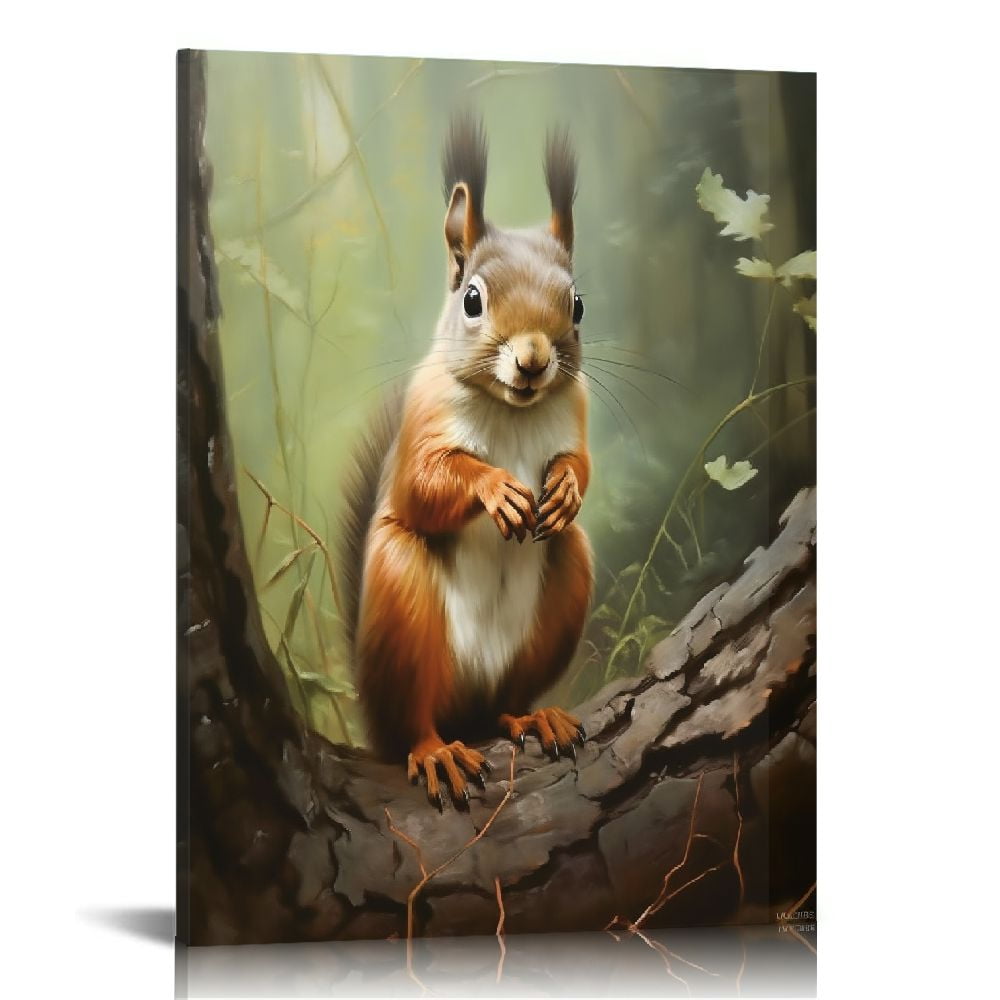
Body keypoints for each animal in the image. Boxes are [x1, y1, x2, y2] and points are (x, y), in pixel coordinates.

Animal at [339, 113, 593, 809]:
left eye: (578, 305)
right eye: (472, 300)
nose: (533, 360)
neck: (512, 409)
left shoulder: (577, 414)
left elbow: (582, 464)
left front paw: (563, 489)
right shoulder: (423, 419)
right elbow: (423, 486)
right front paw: (497, 488)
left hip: (563, 587)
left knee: (506, 703)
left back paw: (533, 715)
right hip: (401, 609)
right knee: (413, 723)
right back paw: (435, 751)